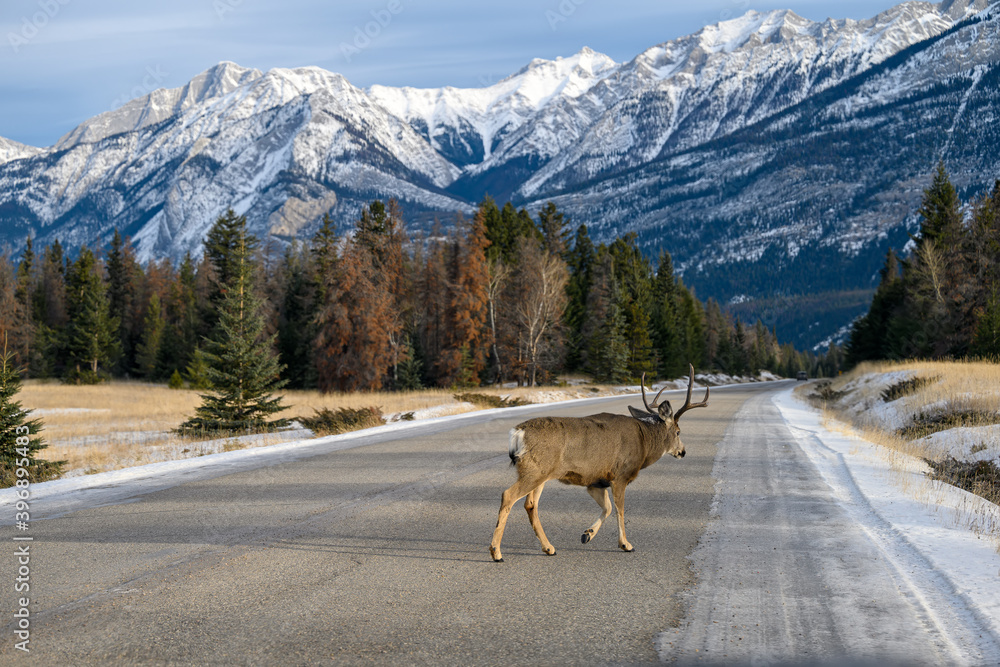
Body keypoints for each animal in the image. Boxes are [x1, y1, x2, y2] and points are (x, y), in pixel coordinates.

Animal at [489, 364, 709, 562]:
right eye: (678, 432)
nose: (682, 451)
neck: (644, 442)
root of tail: (517, 432)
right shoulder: (621, 475)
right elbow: (620, 510)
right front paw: (626, 544)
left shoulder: (595, 481)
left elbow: (608, 508)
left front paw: (587, 534)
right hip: (534, 470)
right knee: (508, 495)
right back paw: (496, 552)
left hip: (540, 473)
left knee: (530, 504)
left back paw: (549, 548)